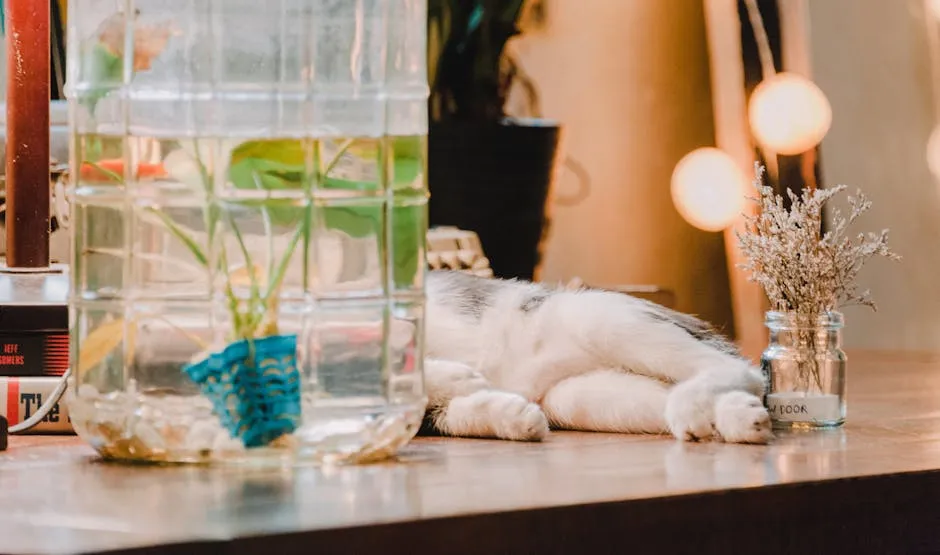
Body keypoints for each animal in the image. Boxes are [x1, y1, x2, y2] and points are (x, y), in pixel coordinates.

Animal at [422, 272, 776, 446]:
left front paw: (458, 378)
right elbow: (447, 416)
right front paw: (513, 418)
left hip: (601, 321)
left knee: (741, 368)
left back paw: (694, 406)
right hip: (582, 399)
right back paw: (740, 418)